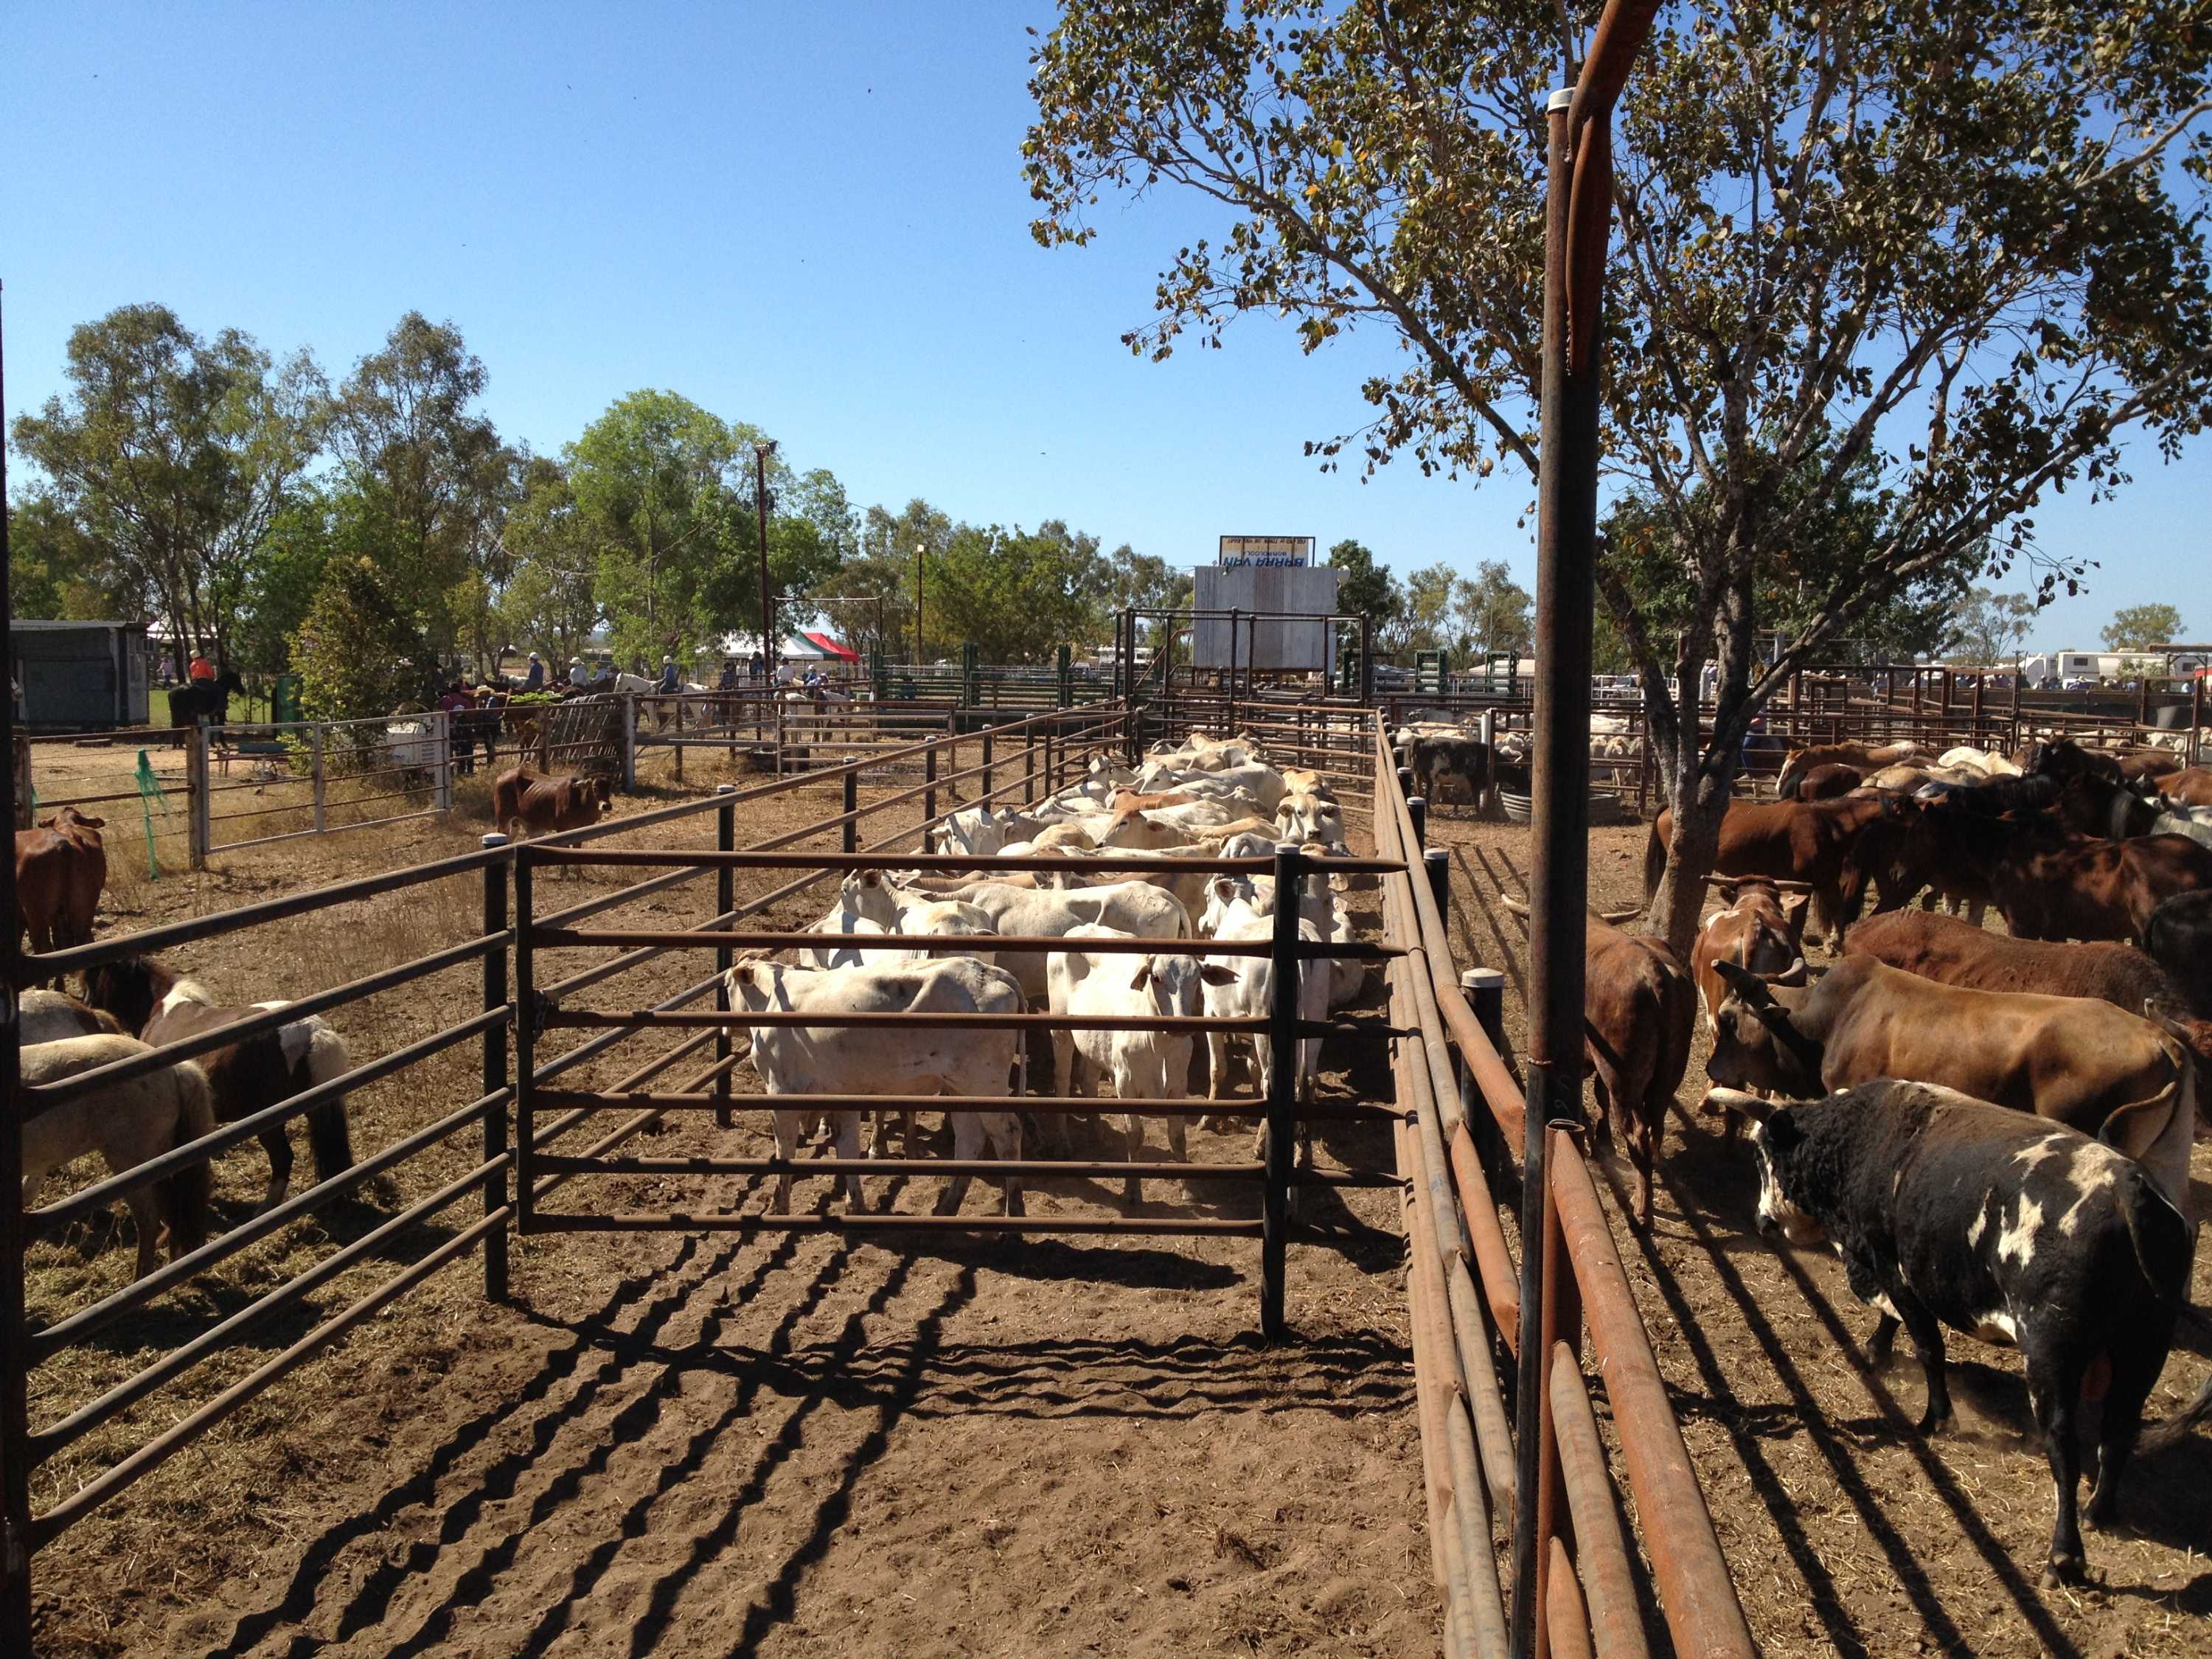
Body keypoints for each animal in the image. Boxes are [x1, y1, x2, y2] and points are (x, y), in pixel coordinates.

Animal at [492, 766, 612, 841]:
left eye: (609, 787)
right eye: (594, 787)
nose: (606, 806)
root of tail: (499, 777)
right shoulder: (561, 829)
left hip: (516, 821)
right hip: (503, 820)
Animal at [724, 956, 1026, 1217]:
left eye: (727, 987)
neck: (773, 999)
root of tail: (990, 972)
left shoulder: (781, 1093)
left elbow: (784, 1150)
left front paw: (777, 1207)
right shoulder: (841, 1095)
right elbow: (847, 1150)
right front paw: (855, 1205)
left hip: (985, 1085)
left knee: (1008, 1134)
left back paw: (1014, 1211)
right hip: (960, 1090)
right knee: (969, 1142)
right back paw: (947, 1208)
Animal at [1045, 924, 1204, 1209]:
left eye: (1196, 979)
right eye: (1156, 978)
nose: (1181, 1024)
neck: (1159, 1044)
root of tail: (1084, 927)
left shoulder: (1179, 1086)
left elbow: (1178, 1136)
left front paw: (1189, 1190)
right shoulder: (1126, 1084)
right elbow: (1135, 1136)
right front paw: (1132, 1191)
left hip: (1093, 1044)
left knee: (1087, 1081)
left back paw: (1099, 1135)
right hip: (1061, 1032)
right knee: (1062, 1082)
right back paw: (1063, 1144)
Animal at [1645, 794, 1894, 945]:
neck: (1826, 824)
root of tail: (1670, 808)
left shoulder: (1825, 881)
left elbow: (1837, 910)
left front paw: (1835, 943)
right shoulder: (1806, 884)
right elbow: (1799, 920)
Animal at [1709, 1080, 2204, 1586]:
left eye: (1762, 1156)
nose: (1764, 1221)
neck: (1864, 1139)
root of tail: (2128, 1186)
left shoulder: (1893, 1266)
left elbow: (1928, 1344)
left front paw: (1936, 1418)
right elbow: (1896, 1322)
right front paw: (1877, 1351)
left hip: (2051, 1353)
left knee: (2064, 1444)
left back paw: (2064, 1555)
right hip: (2143, 1350)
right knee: (2119, 1430)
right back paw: (2099, 1510)